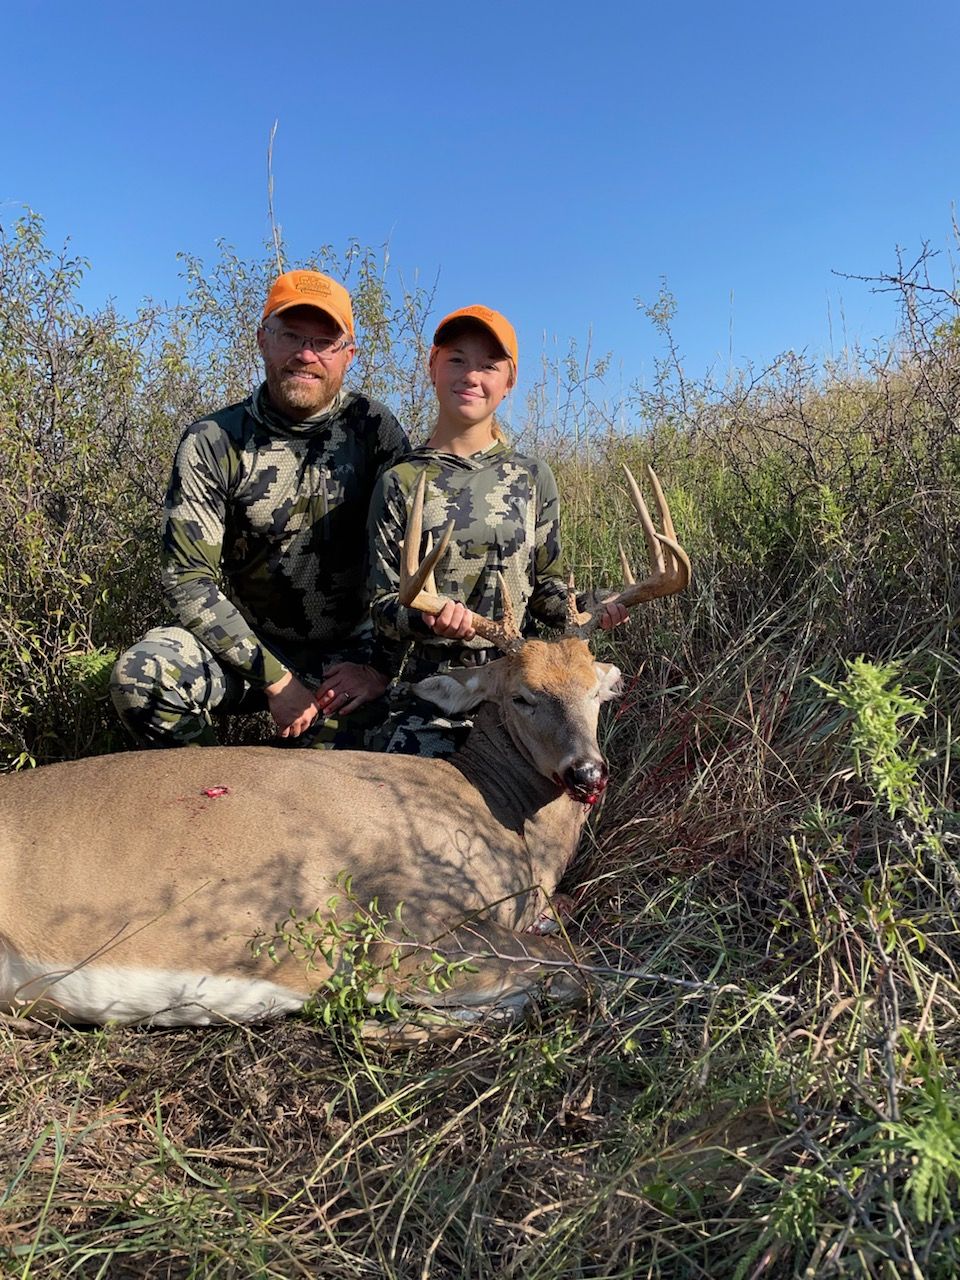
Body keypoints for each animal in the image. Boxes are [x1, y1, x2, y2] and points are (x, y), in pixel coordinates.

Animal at [0, 466, 689, 1037]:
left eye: (597, 690)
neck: (499, 818)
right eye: (521, 696)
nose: (587, 772)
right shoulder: (405, 927)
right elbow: (575, 968)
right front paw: (394, 1021)